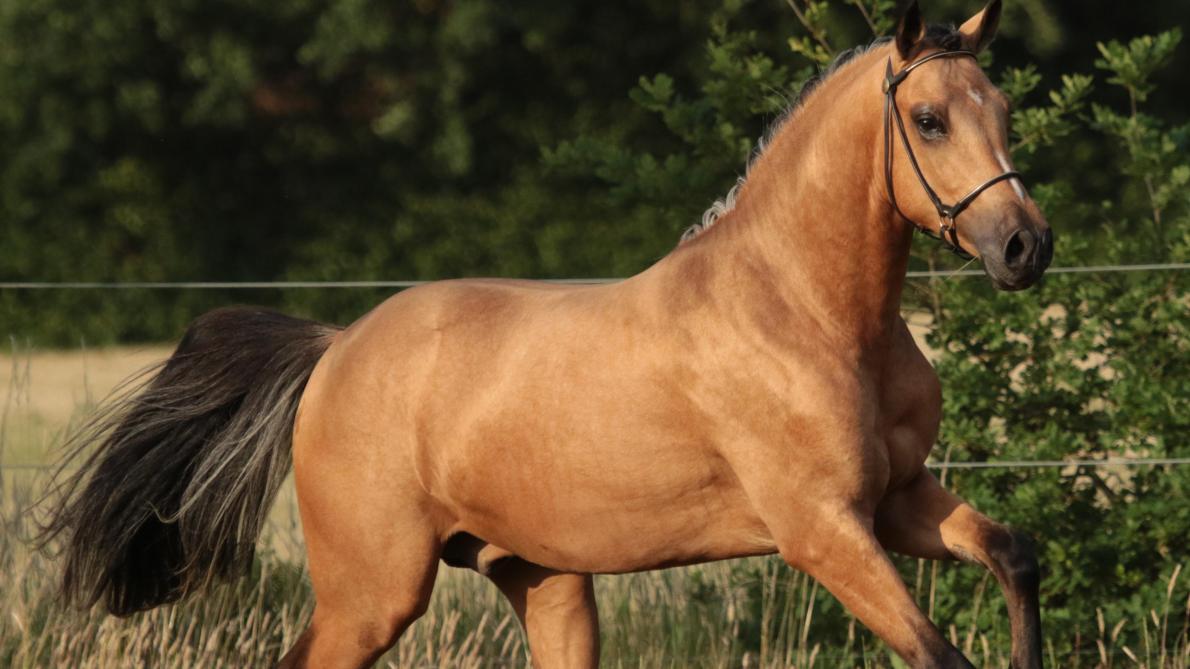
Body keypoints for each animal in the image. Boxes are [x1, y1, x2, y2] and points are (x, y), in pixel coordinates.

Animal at [41, 1, 1053, 667]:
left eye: (1004, 113)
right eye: (928, 118)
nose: (1024, 246)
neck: (808, 313)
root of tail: (335, 348)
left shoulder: (898, 500)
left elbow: (1014, 553)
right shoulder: (823, 529)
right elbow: (938, 653)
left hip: (545, 582)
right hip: (374, 592)